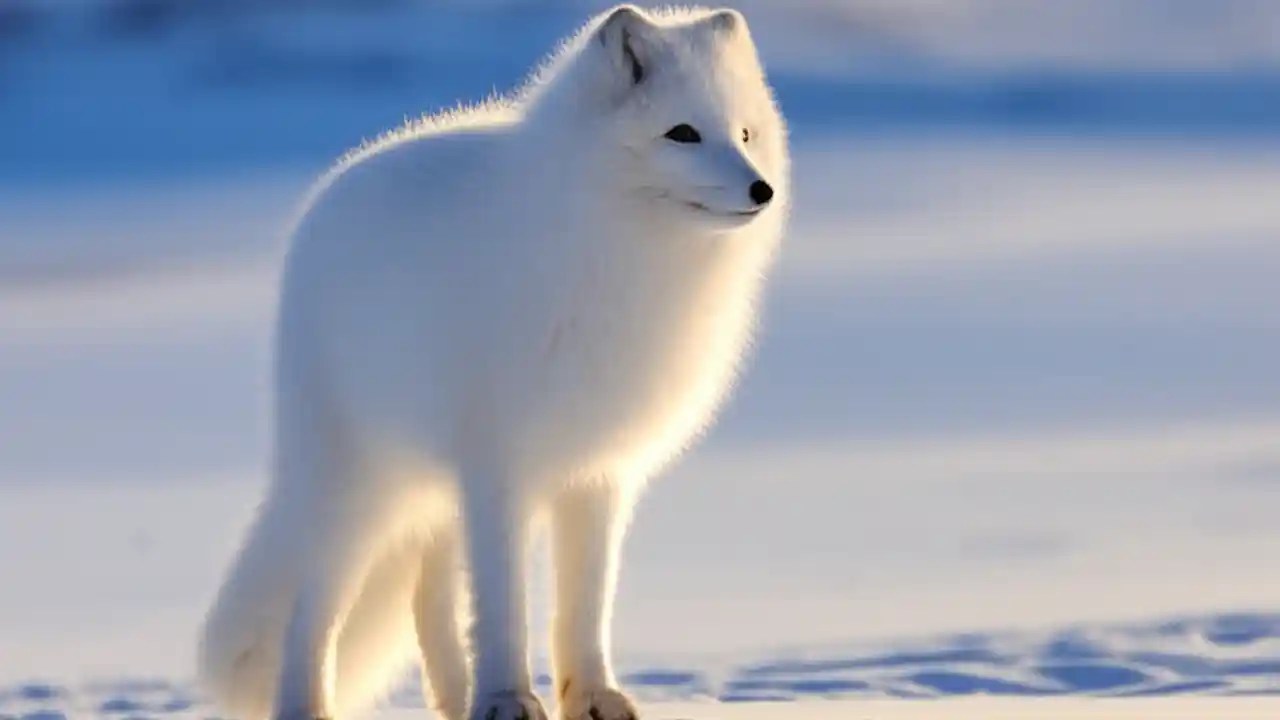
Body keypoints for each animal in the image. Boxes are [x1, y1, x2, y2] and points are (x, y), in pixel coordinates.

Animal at [198, 5, 789, 720]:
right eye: (683, 133)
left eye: (745, 133)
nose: (762, 189)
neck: (615, 252)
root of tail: (327, 193)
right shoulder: (498, 468)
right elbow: (505, 605)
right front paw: (509, 698)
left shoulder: (598, 471)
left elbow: (585, 605)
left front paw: (593, 697)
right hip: (357, 486)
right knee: (311, 611)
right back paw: (306, 706)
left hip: (432, 496)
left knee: (427, 599)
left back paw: (456, 701)